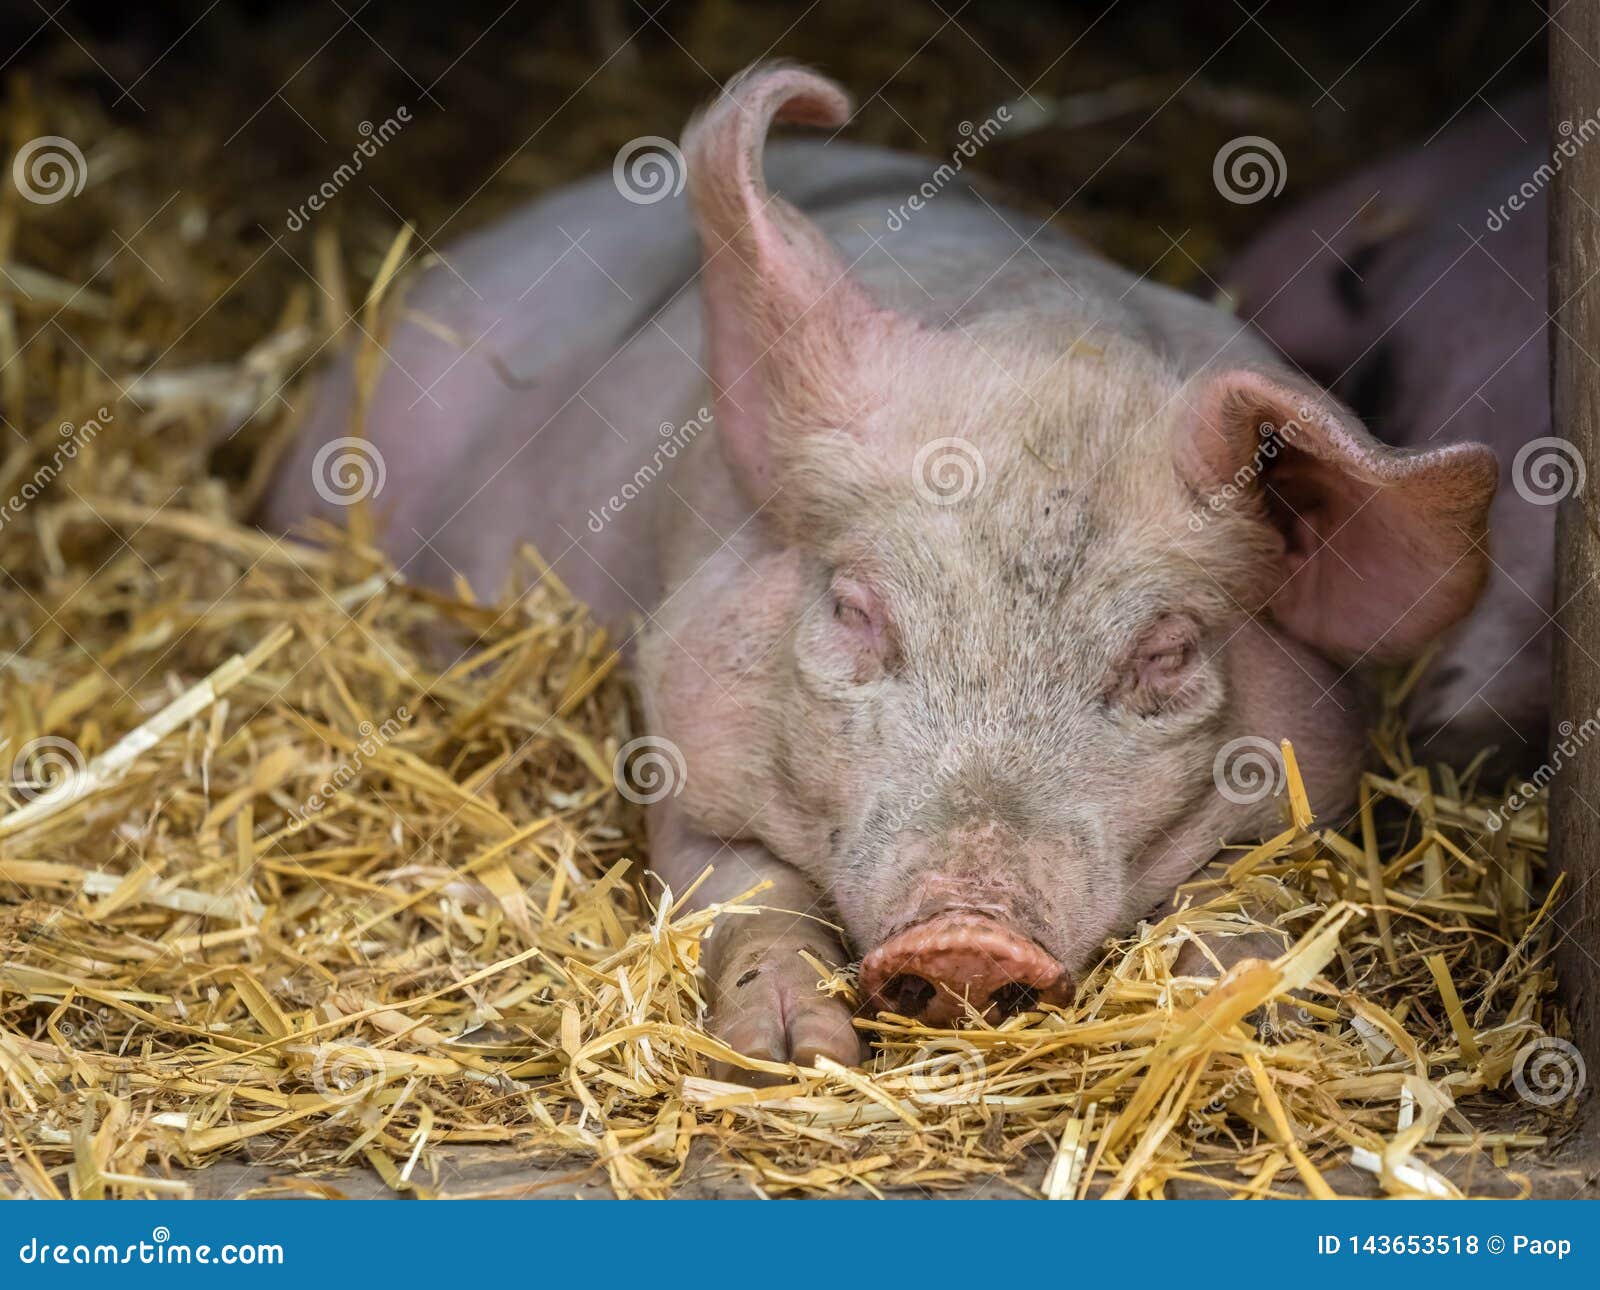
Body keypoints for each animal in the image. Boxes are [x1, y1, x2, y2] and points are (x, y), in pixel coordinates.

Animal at [266, 65, 1497, 1077]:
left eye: (1166, 651)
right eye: (857, 609)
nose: (967, 934)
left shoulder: (1309, 798)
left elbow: (1250, 895)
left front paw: (1251, 1014)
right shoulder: (683, 748)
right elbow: (744, 895)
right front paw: (790, 1056)